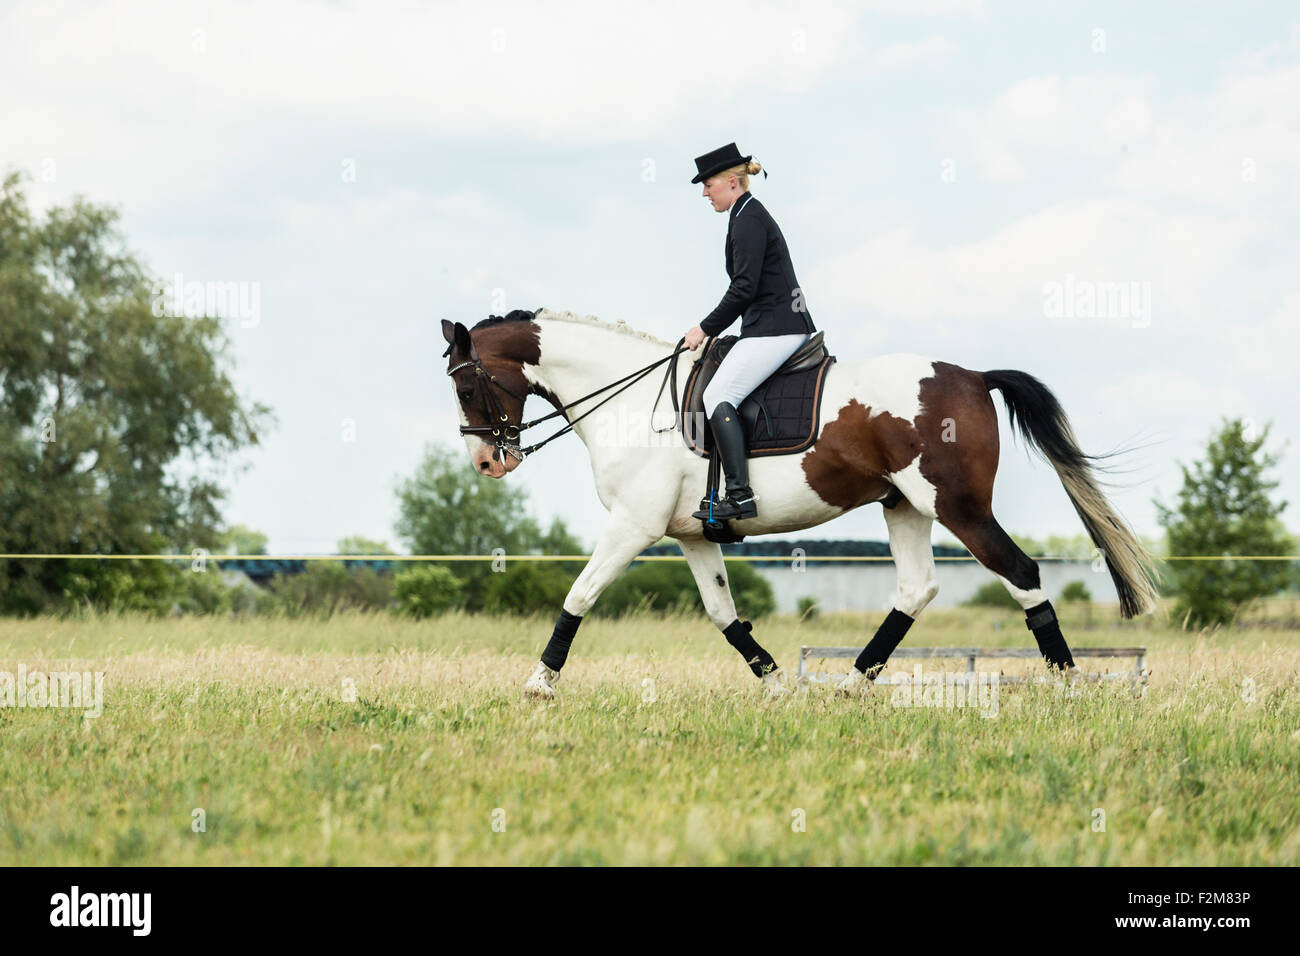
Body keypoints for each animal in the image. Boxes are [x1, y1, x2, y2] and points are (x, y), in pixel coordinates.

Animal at [441, 307, 1160, 698]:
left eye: (467, 388)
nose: (487, 463)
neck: (629, 401)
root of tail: (975, 378)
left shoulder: (633, 527)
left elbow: (579, 595)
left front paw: (539, 682)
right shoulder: (691, 536)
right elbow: (724, 615)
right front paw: (779, 684)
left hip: (958, 507)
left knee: (1021, 573)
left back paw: (1068, 683)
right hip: (903, 507)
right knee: (917, 589)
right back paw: (849, 684)